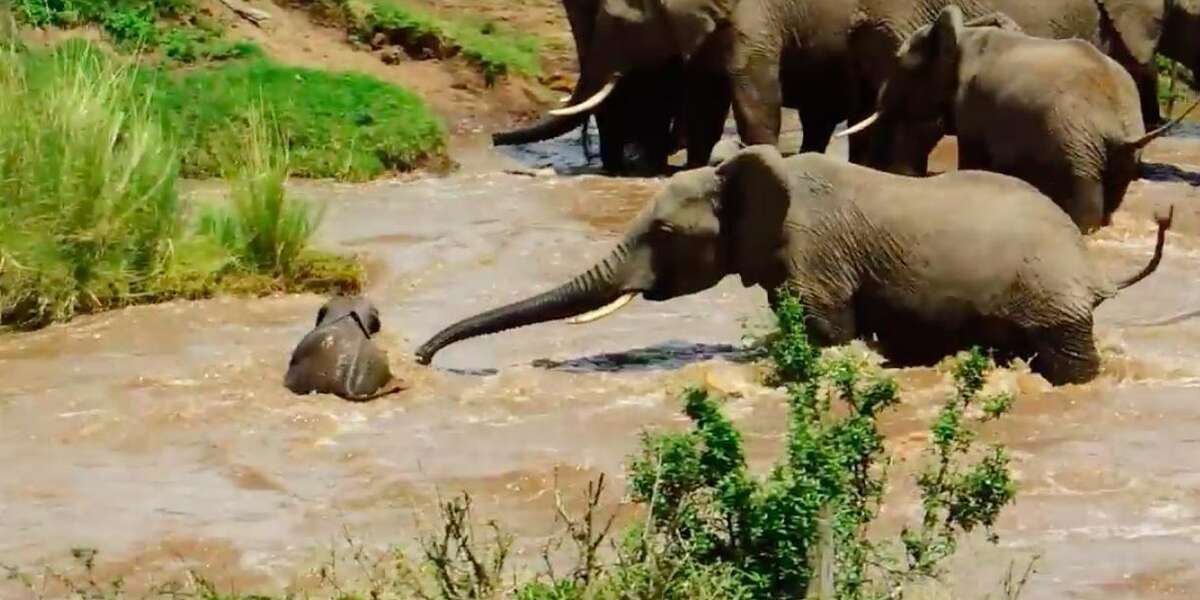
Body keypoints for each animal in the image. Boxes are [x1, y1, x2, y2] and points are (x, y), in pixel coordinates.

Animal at [417, 147, 1176, 386]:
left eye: (662, 232)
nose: (422, 358)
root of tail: (1090, 266)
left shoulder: (817, 256)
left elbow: (825, 334)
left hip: (1051, 301)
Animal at [844, 5, 1200, 232]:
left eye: (899, 62)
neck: (967, 36)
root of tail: (1122, 128)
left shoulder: (975, 103)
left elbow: (974, 155)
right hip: (1117, 157)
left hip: (1077, 147)